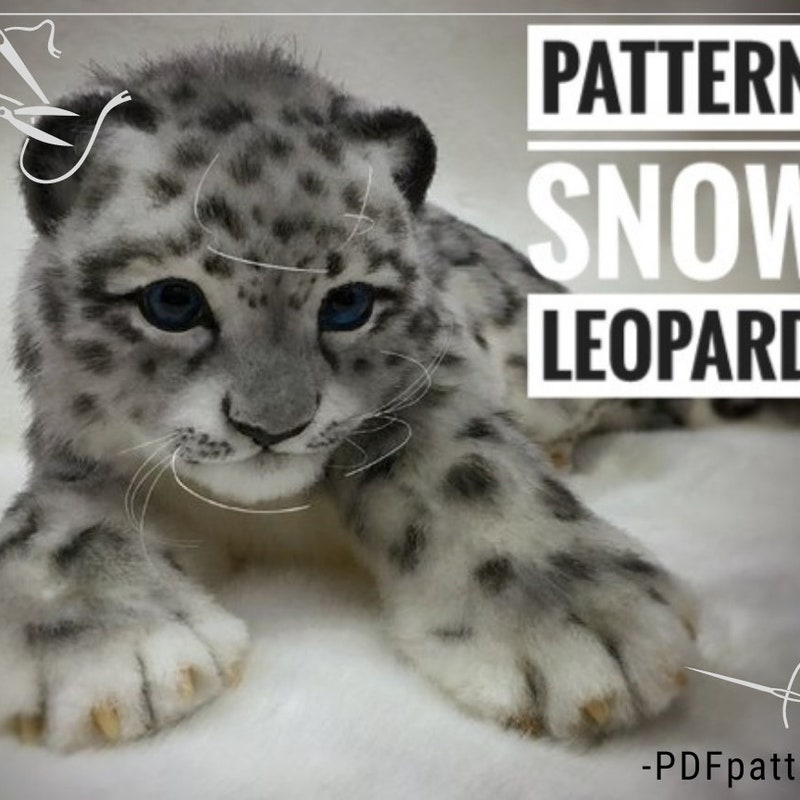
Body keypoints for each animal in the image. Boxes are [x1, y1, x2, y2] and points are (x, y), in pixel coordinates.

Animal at [0, 44, 698, 751]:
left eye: (349, 303)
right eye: (172, 301)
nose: (272, 427)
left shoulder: (438, 381)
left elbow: (471, 467)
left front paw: (581, 616)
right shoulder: (80, 451)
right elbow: (62, 522)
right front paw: (110, 644)